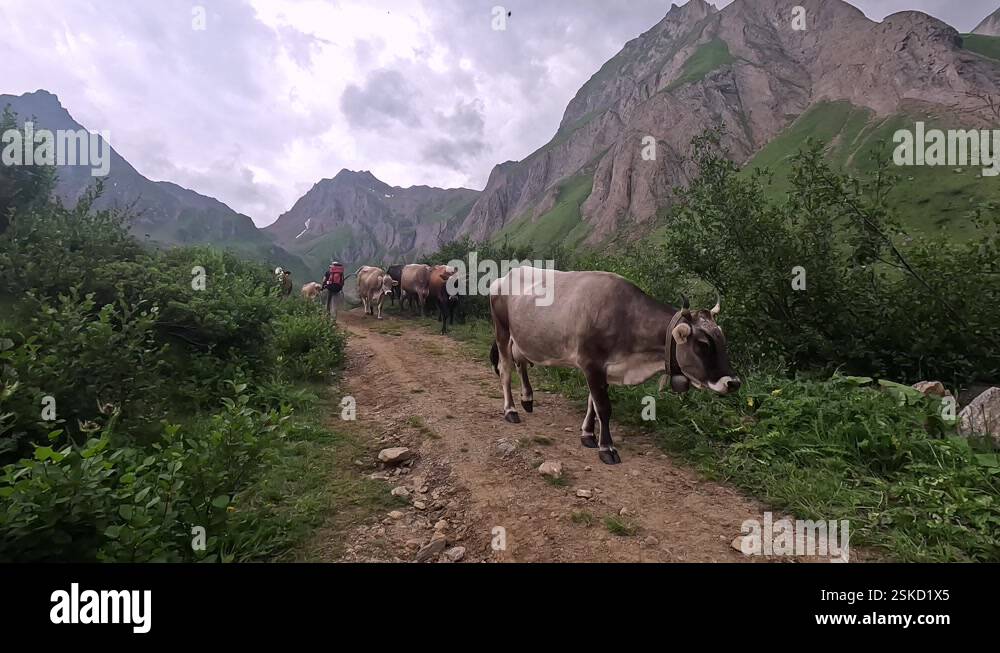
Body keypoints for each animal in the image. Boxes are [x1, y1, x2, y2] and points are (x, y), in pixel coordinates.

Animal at [488, 266, 740, 465]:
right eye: (702, 344)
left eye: (722, 339)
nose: (733, 382)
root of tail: (505, 276)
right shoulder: (592, 363)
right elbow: (603, 407)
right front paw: (606, 448)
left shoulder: (604, 368)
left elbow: (592, 402)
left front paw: (588, 435)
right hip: (502, 330)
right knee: (505, 369)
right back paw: (510, 410)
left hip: (523, 338)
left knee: (520, 362)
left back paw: (527, 400)